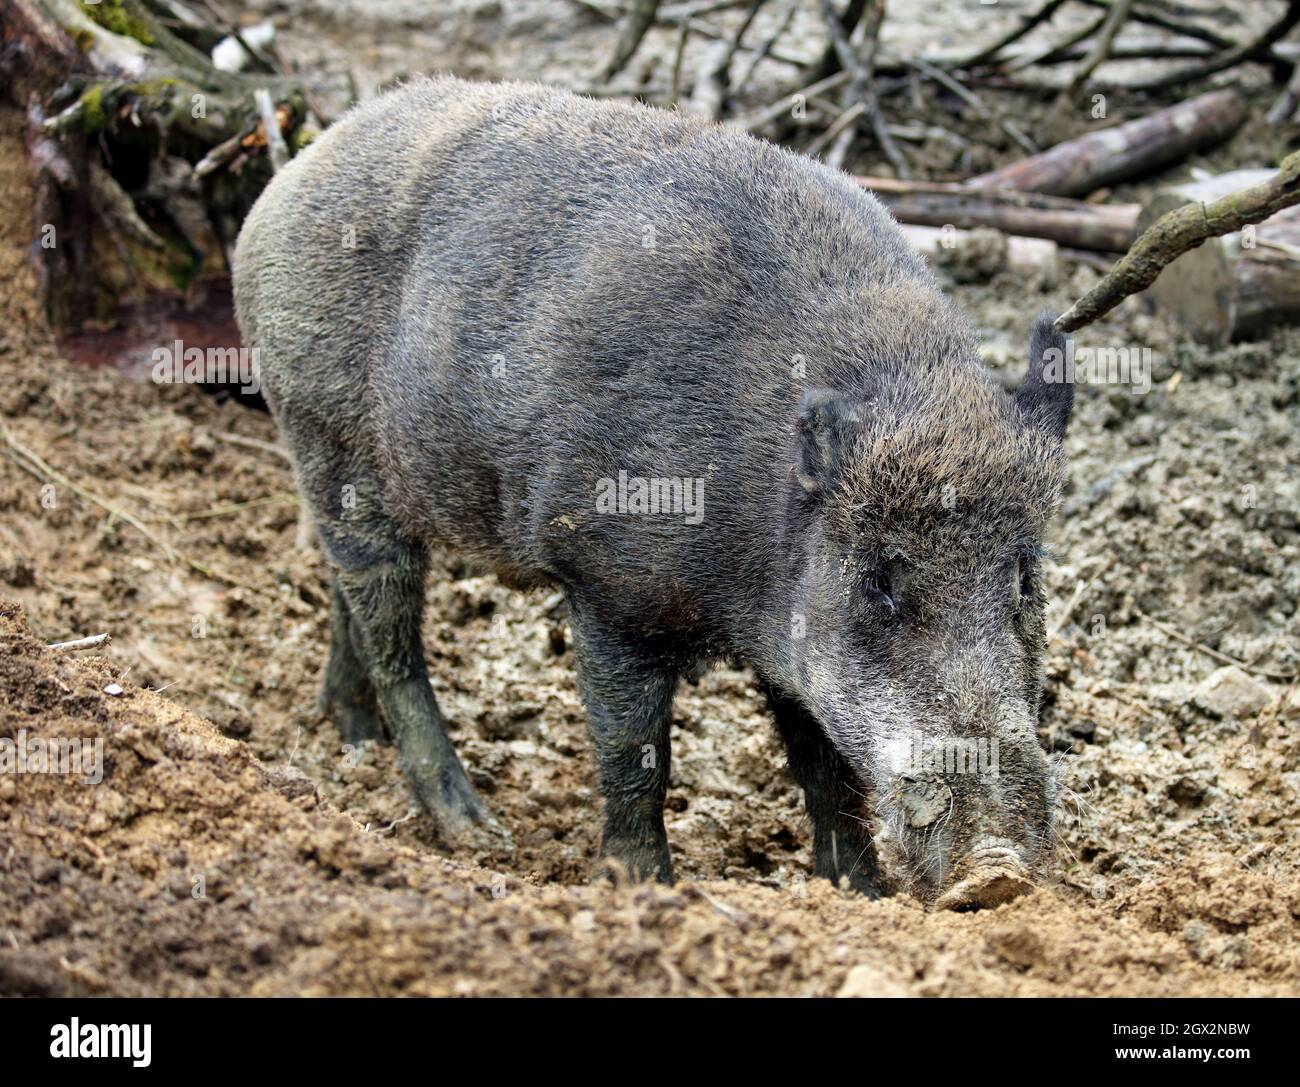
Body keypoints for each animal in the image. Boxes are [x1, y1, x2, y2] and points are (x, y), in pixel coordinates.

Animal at [233, 76, 1073, 908]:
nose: (995, 873)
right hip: (326, 438)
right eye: (880, 582)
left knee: (347, 598)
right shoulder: (605, 581)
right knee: (393, 639)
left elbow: (825, 770)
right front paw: (642, 886)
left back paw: (352, 732)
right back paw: (476, 831)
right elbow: (635, 750)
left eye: (1025, 580)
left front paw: (861, 894)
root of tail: (280, 189)